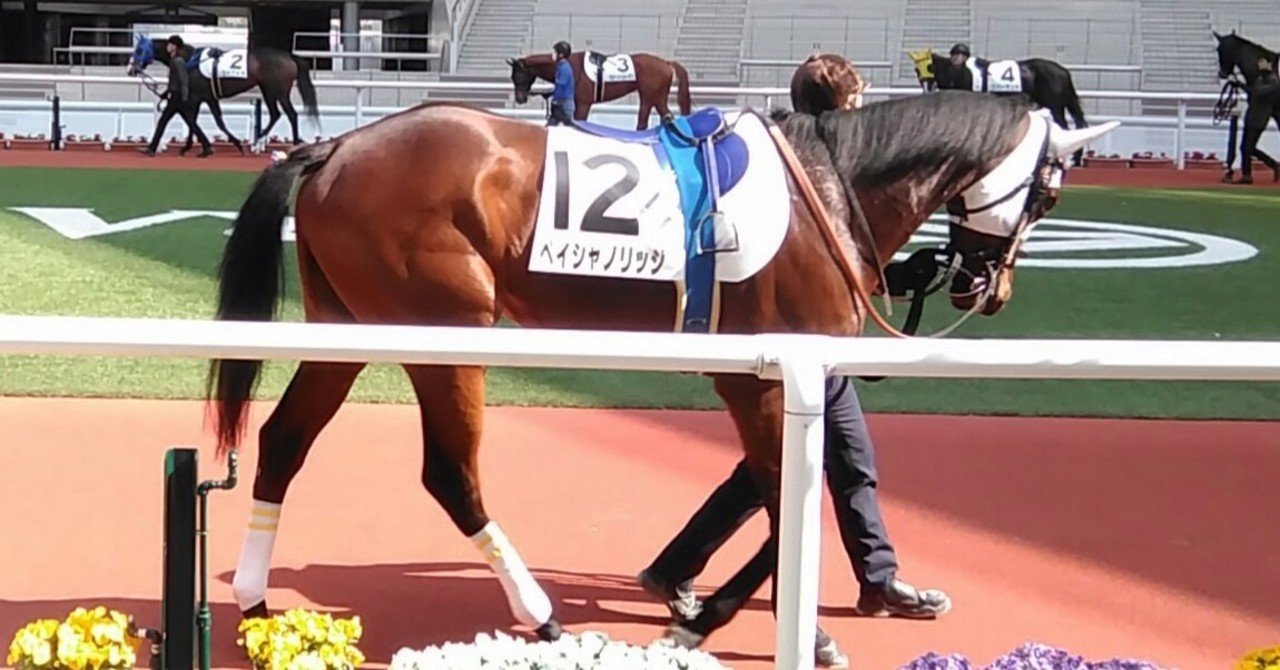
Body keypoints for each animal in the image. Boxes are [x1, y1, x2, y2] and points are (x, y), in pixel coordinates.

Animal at [126, 35, 320, 149]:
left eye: (139, 50)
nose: (130, 69)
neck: (189, 60)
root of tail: (289, 57)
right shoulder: (203, 97)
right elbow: (197, 120)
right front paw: (189, 146)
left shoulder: (196, 97)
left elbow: (199, 120)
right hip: (268, 91)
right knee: (275, 114)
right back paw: (257, 140)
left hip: (278, 91)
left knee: (291, 114)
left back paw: (293, 143)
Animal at [204, 92, 1116, 664]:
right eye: (1049, 196)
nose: (986, 290)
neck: (828, 187)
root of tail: (335, 146)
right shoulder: (766, 381)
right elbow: (790, 495)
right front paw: (728, 623)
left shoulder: (775, 380)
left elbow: (788, 489)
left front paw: (710, 604)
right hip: (445, 327)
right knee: (450, 474)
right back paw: (541, 618)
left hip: (347, 325)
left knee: (284, 441)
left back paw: (255, 607)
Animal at [508, 50, 692, 129]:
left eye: (519, 75)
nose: (520, 98)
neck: (571, 65)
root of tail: (666, 63)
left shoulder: (583, 104)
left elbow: (579, 122)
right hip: (652, 97)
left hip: (652, 96)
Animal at [908, 48, 1089, 165]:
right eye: (917, 70)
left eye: (930, 66)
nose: (927, 88)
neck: (959, 72)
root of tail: (1063, 71)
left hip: (1056, 106)